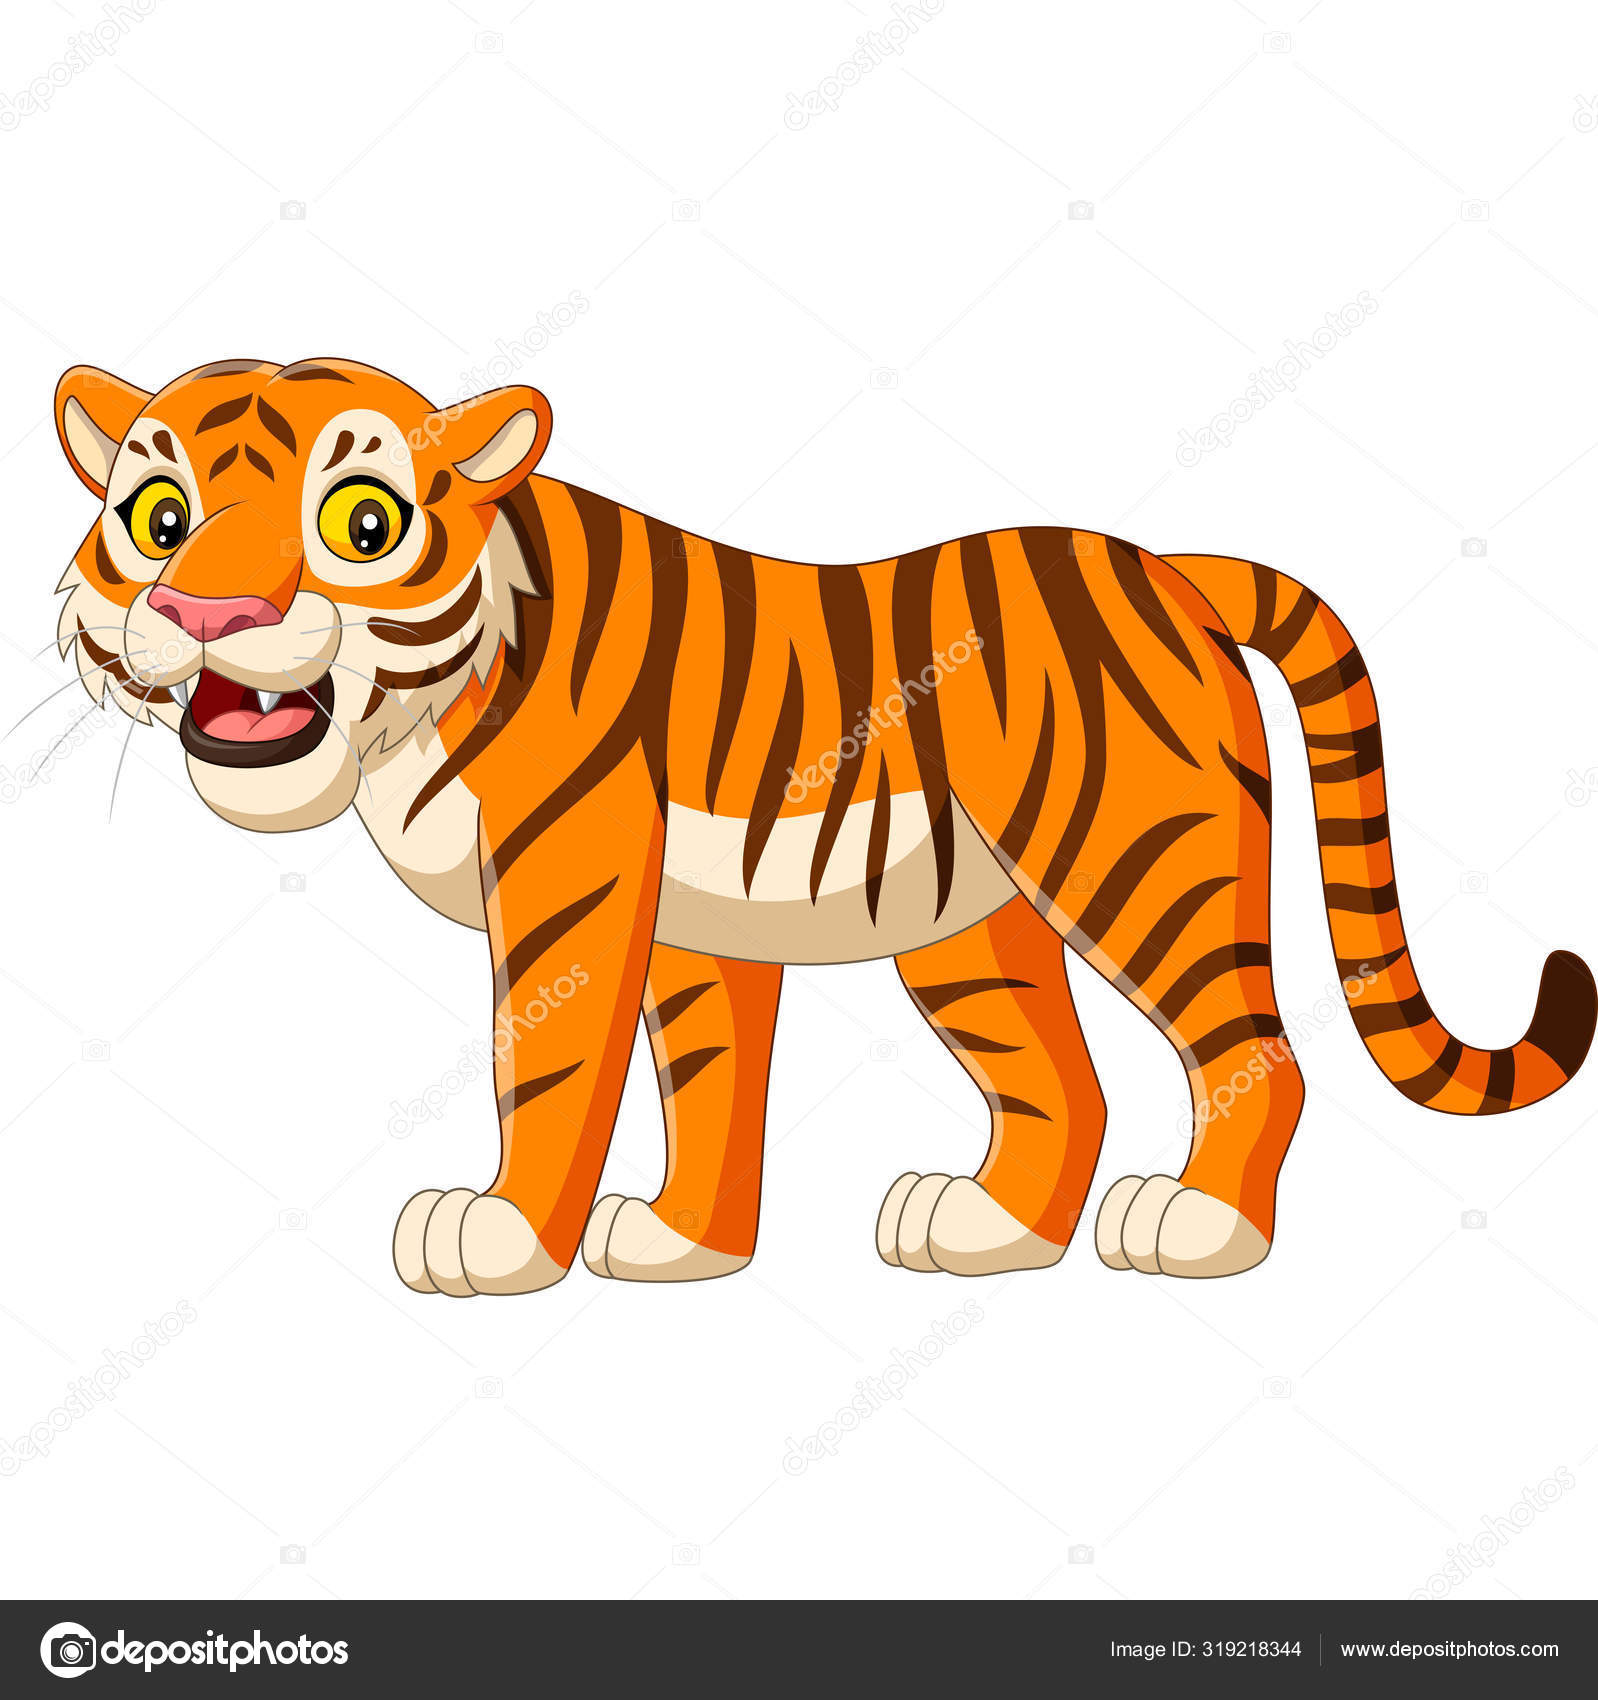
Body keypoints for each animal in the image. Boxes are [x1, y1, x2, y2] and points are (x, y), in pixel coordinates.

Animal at [49, 356, 1596, 1297]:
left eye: (361, 522)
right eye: (157, 515)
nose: (205, 612)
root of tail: (1167, 565)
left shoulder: (564, 889)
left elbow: (546, 1071)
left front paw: (499, 1234)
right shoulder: (691, 931)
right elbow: (709, 1088)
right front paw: (685, 1245)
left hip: (1137, 860)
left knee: (1248, 1053)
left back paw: (1194, 1224)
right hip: (971, 928)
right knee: (1064, 1083)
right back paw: (982, 1225)